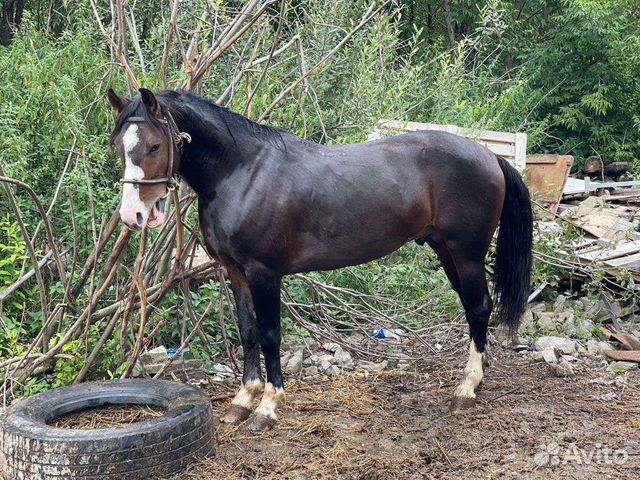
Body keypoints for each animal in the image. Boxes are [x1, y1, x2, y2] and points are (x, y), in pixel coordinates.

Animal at [107, 87, 533, 432]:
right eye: (119, 147)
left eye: (154, 146)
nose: (133, 215)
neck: (242, 172)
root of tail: (489, 155)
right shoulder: (236, 273)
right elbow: (247, 332)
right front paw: (242, 401)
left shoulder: (264, 274)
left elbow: (270, 335)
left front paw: (268, 407)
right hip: (446, 250)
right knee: (473, 308)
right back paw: (478, 378)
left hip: (467, 253)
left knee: (478, 307)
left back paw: (466, 389)